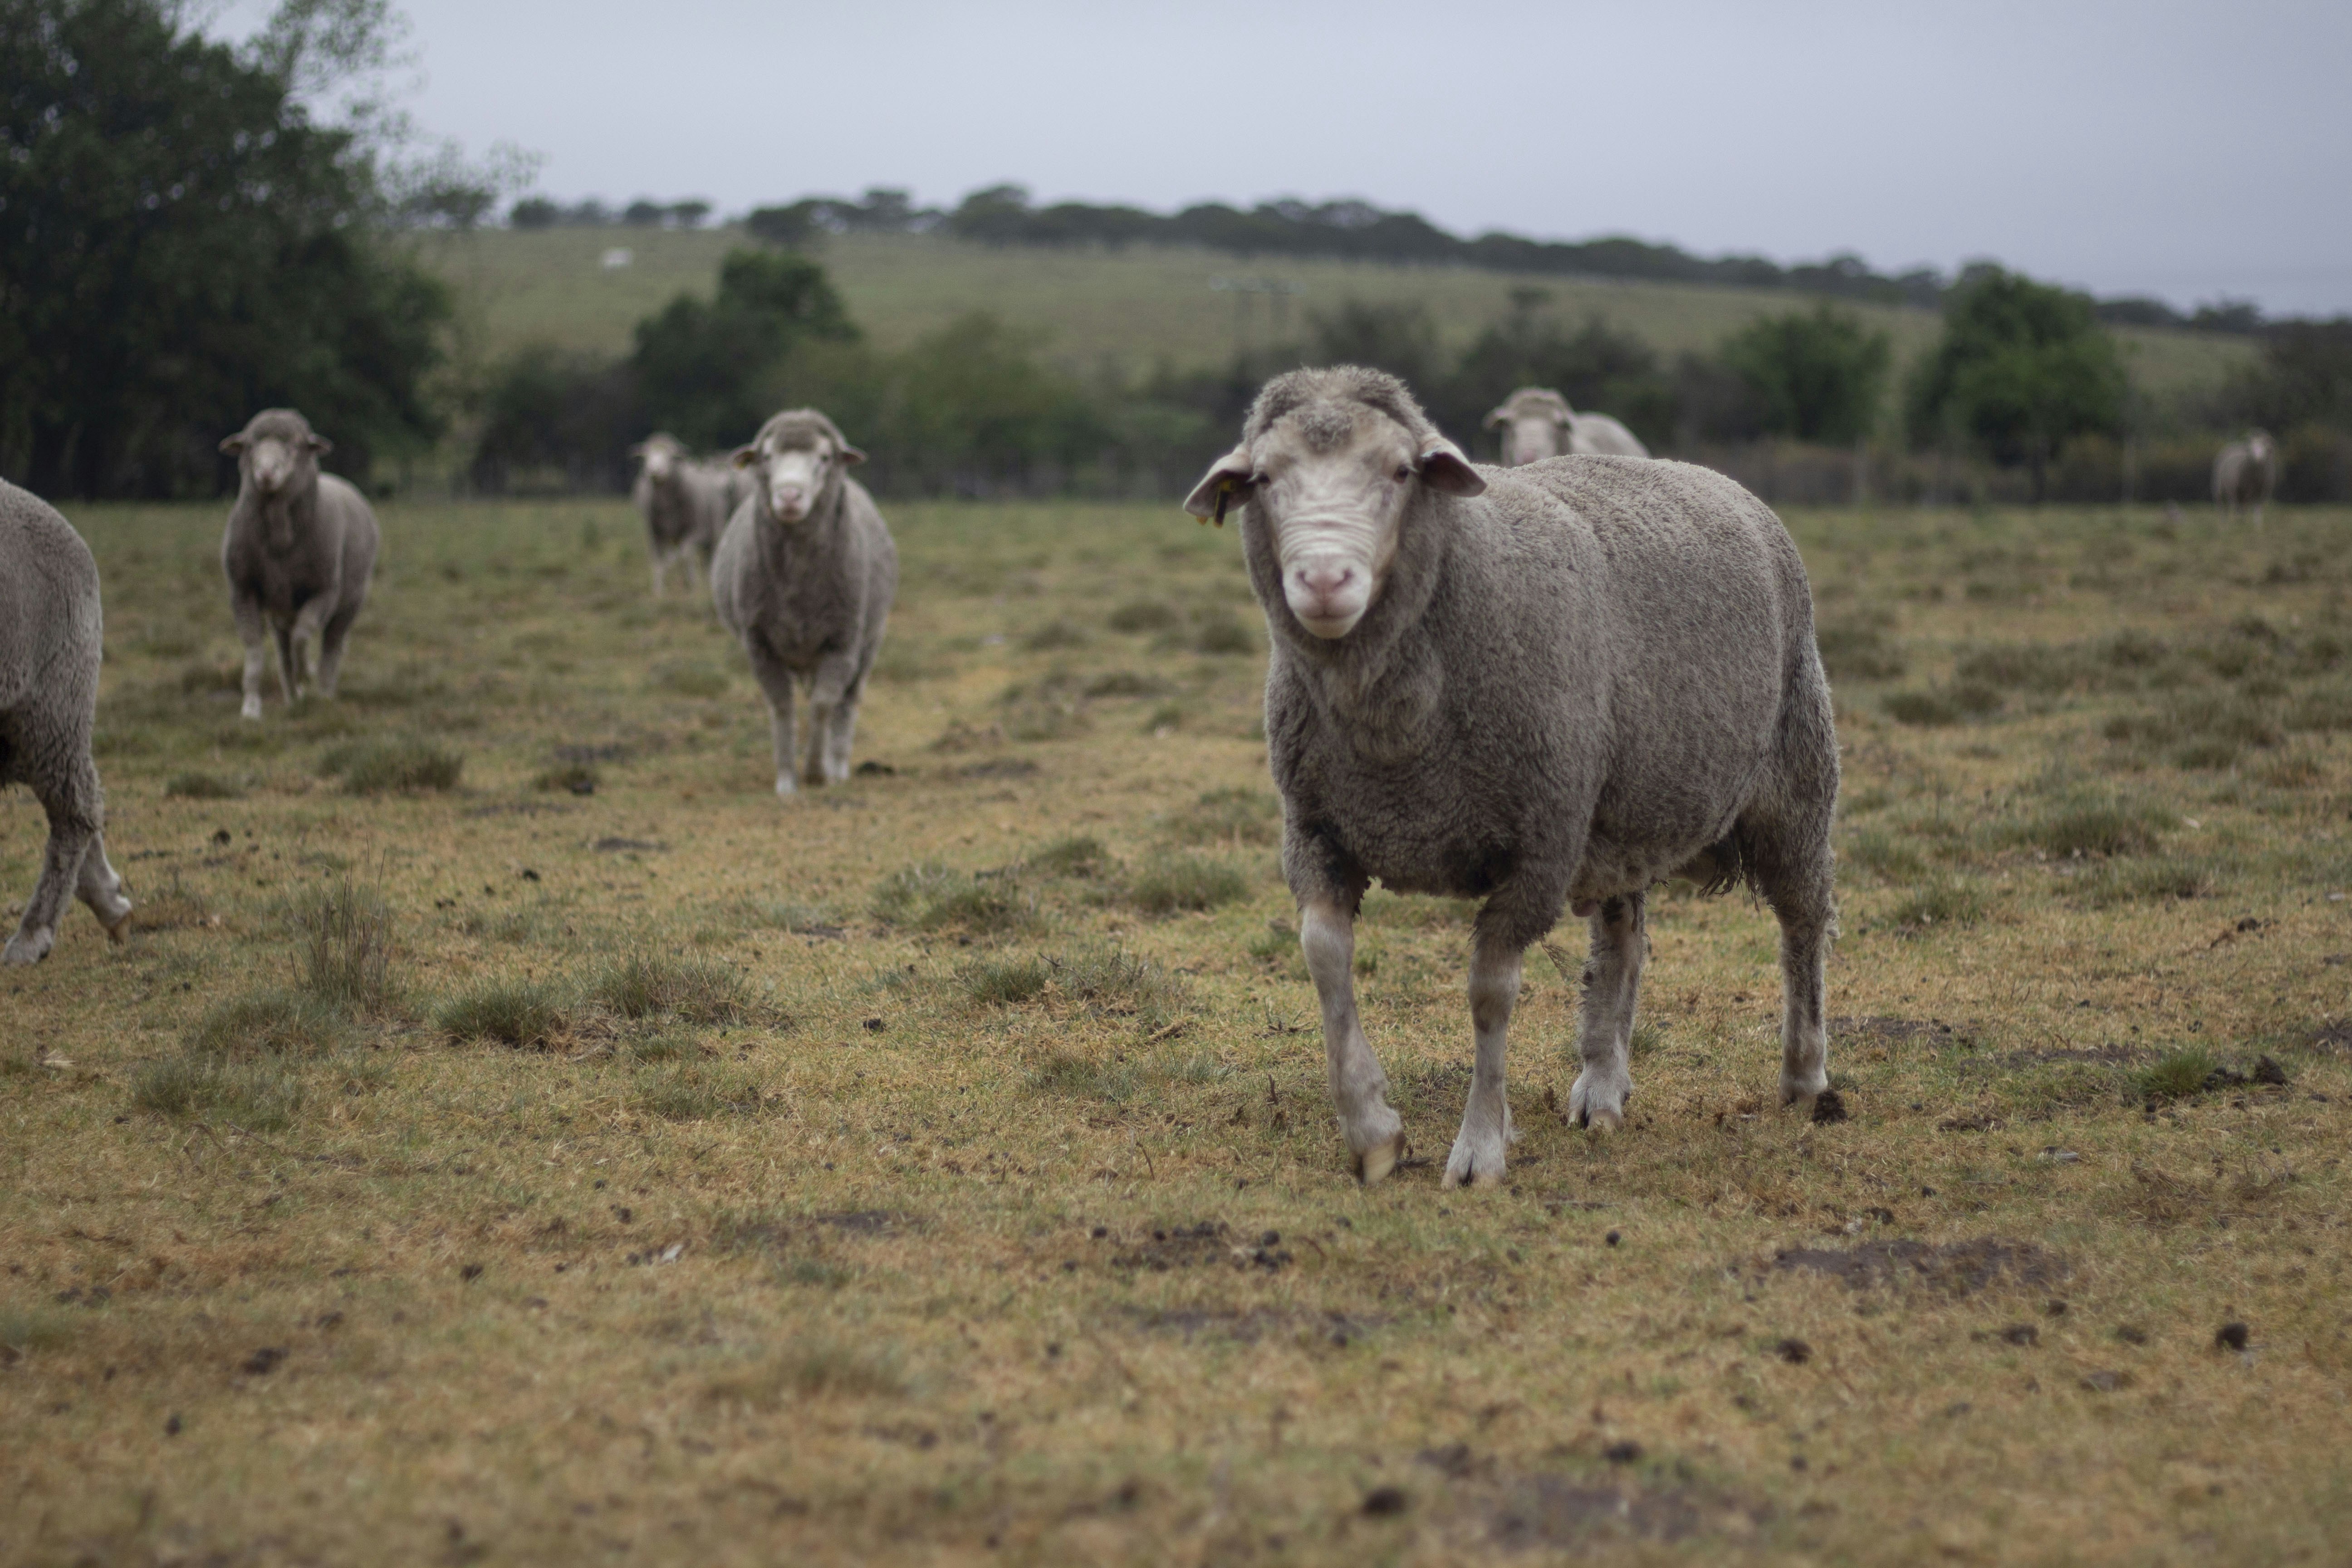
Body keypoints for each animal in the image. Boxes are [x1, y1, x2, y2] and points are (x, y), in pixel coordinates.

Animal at [219, 409, 380, 720]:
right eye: (250, 446)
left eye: (295, 446)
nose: (266, 473)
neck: (280, 538)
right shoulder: (242, 590)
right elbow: (255, 650)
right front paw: (251, 707)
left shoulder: (324, 590)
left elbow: (304, 636)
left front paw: (308, 673)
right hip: (280, 608)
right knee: (283, 652)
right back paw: (293, 697)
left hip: (350, 600)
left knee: (330, 644)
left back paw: (324, 692)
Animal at [630, 433, 740, 595]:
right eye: (647, 455)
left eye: (670, 456)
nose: (654, 471)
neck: (667, 505)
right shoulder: (655, 534)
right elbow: (658, 560)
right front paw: (659, 591)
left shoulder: (696, 531)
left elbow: (685, 555)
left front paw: (692, 584)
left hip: (714, 530)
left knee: (709, 555)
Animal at [710, 409, 898, 795]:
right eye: (767, 457)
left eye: (824, 458)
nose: (789, 496)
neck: (798, 586)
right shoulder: (759, 644)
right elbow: (782, 707)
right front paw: (786, 780)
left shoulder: (843, 641)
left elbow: (825, 705)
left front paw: (816, 772)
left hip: (868, 642)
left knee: (847, 702)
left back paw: (837, 764)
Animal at [2213, 430, 2279, 525]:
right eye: (2251, 447)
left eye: (2264, 446)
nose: (2257, 458)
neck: (2256, 478)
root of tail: (2235, 444)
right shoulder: (2238, 492)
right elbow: (2236, 511)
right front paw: (2237, 525)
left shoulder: (2260, 496)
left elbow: (2257, 514)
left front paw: (2257, 527)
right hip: (2223, 491)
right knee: (2224, 510)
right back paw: (2224, 526)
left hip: (2243, 497)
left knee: (2241, 510)